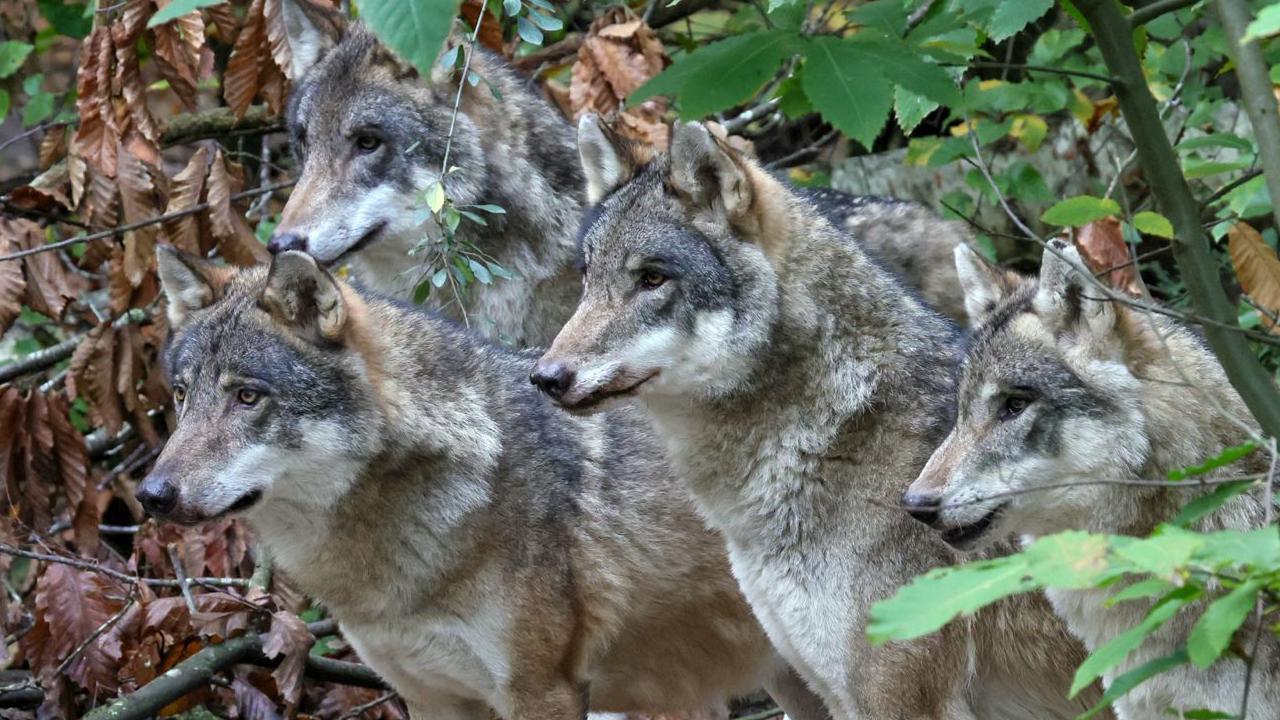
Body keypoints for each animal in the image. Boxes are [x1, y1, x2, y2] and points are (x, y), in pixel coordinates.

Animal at [530, 116, 1102, 719]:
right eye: (588, 277)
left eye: (653, 279)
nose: (546, 376)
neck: (840, 434)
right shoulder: (825, 686)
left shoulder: (902, 698)